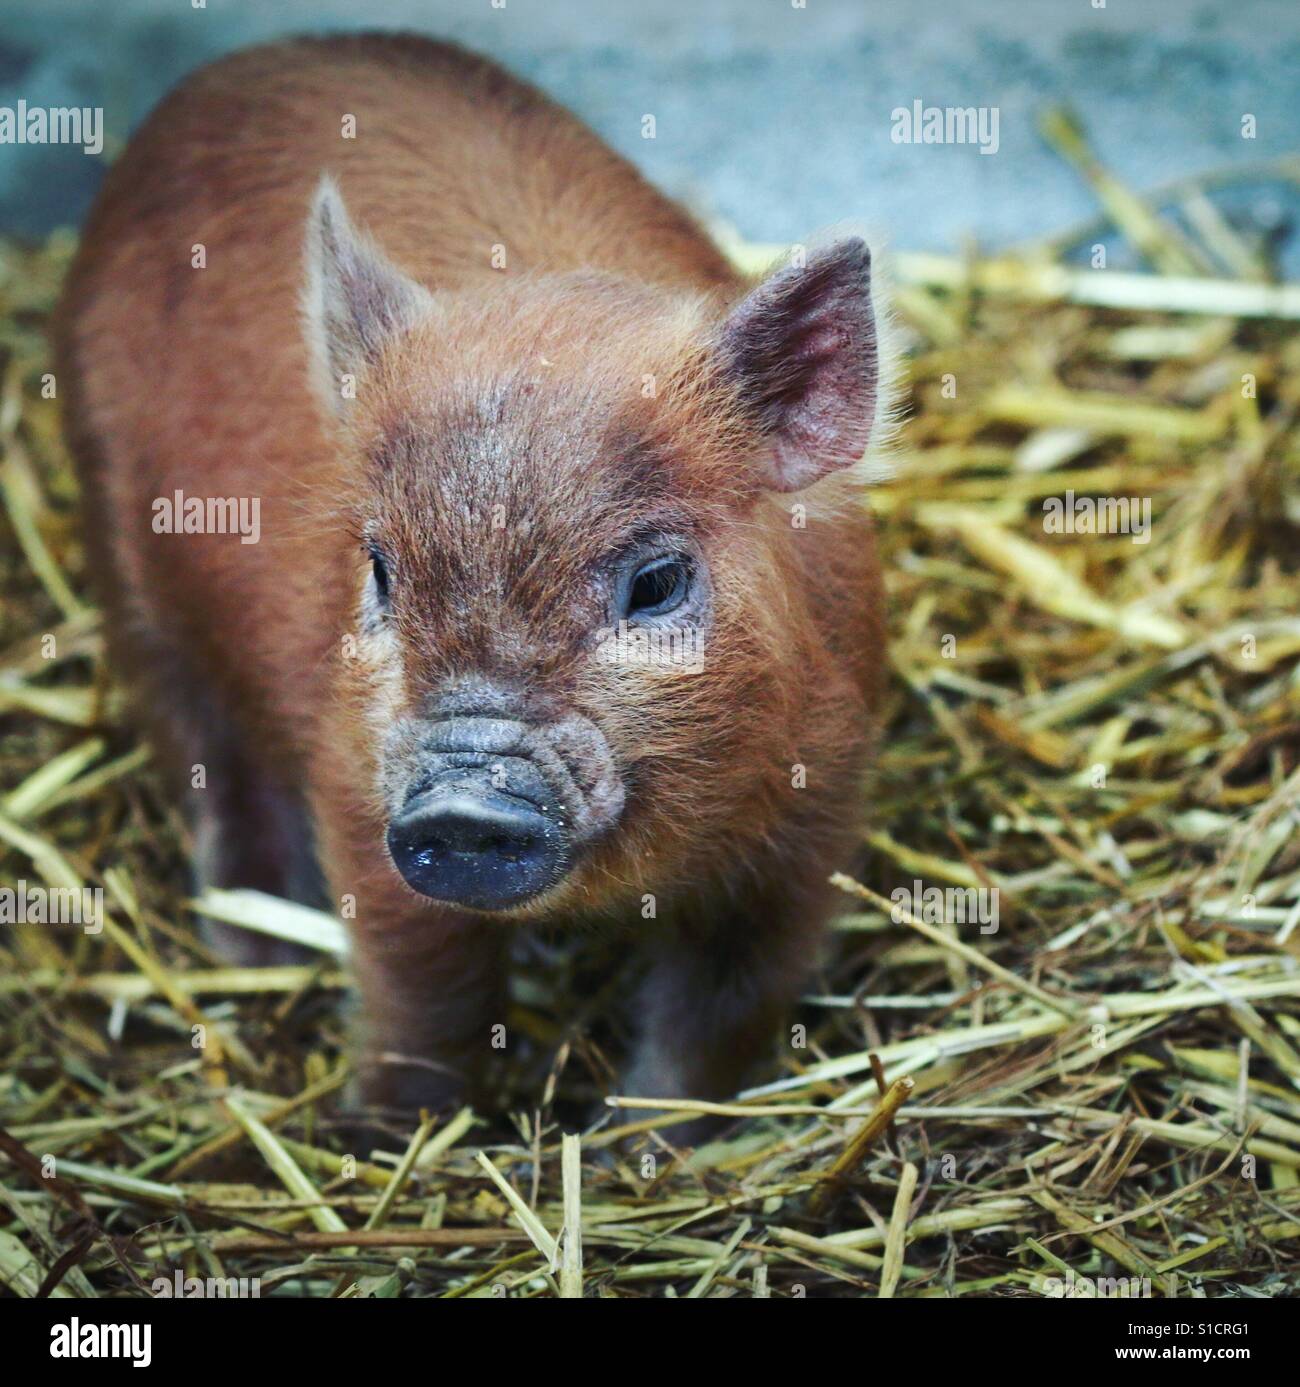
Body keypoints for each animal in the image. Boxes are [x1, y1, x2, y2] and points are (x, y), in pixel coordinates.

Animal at [56, 33, 888, 1126]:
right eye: (379, 570)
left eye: (656, 582)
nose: (462, 797)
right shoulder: (355, 773)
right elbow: (427, 993)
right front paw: (382, 1128)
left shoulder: (819, 792)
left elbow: (721, 1009)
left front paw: (635, 1139)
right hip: (115, 522)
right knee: (192, 726)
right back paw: (256, 934)